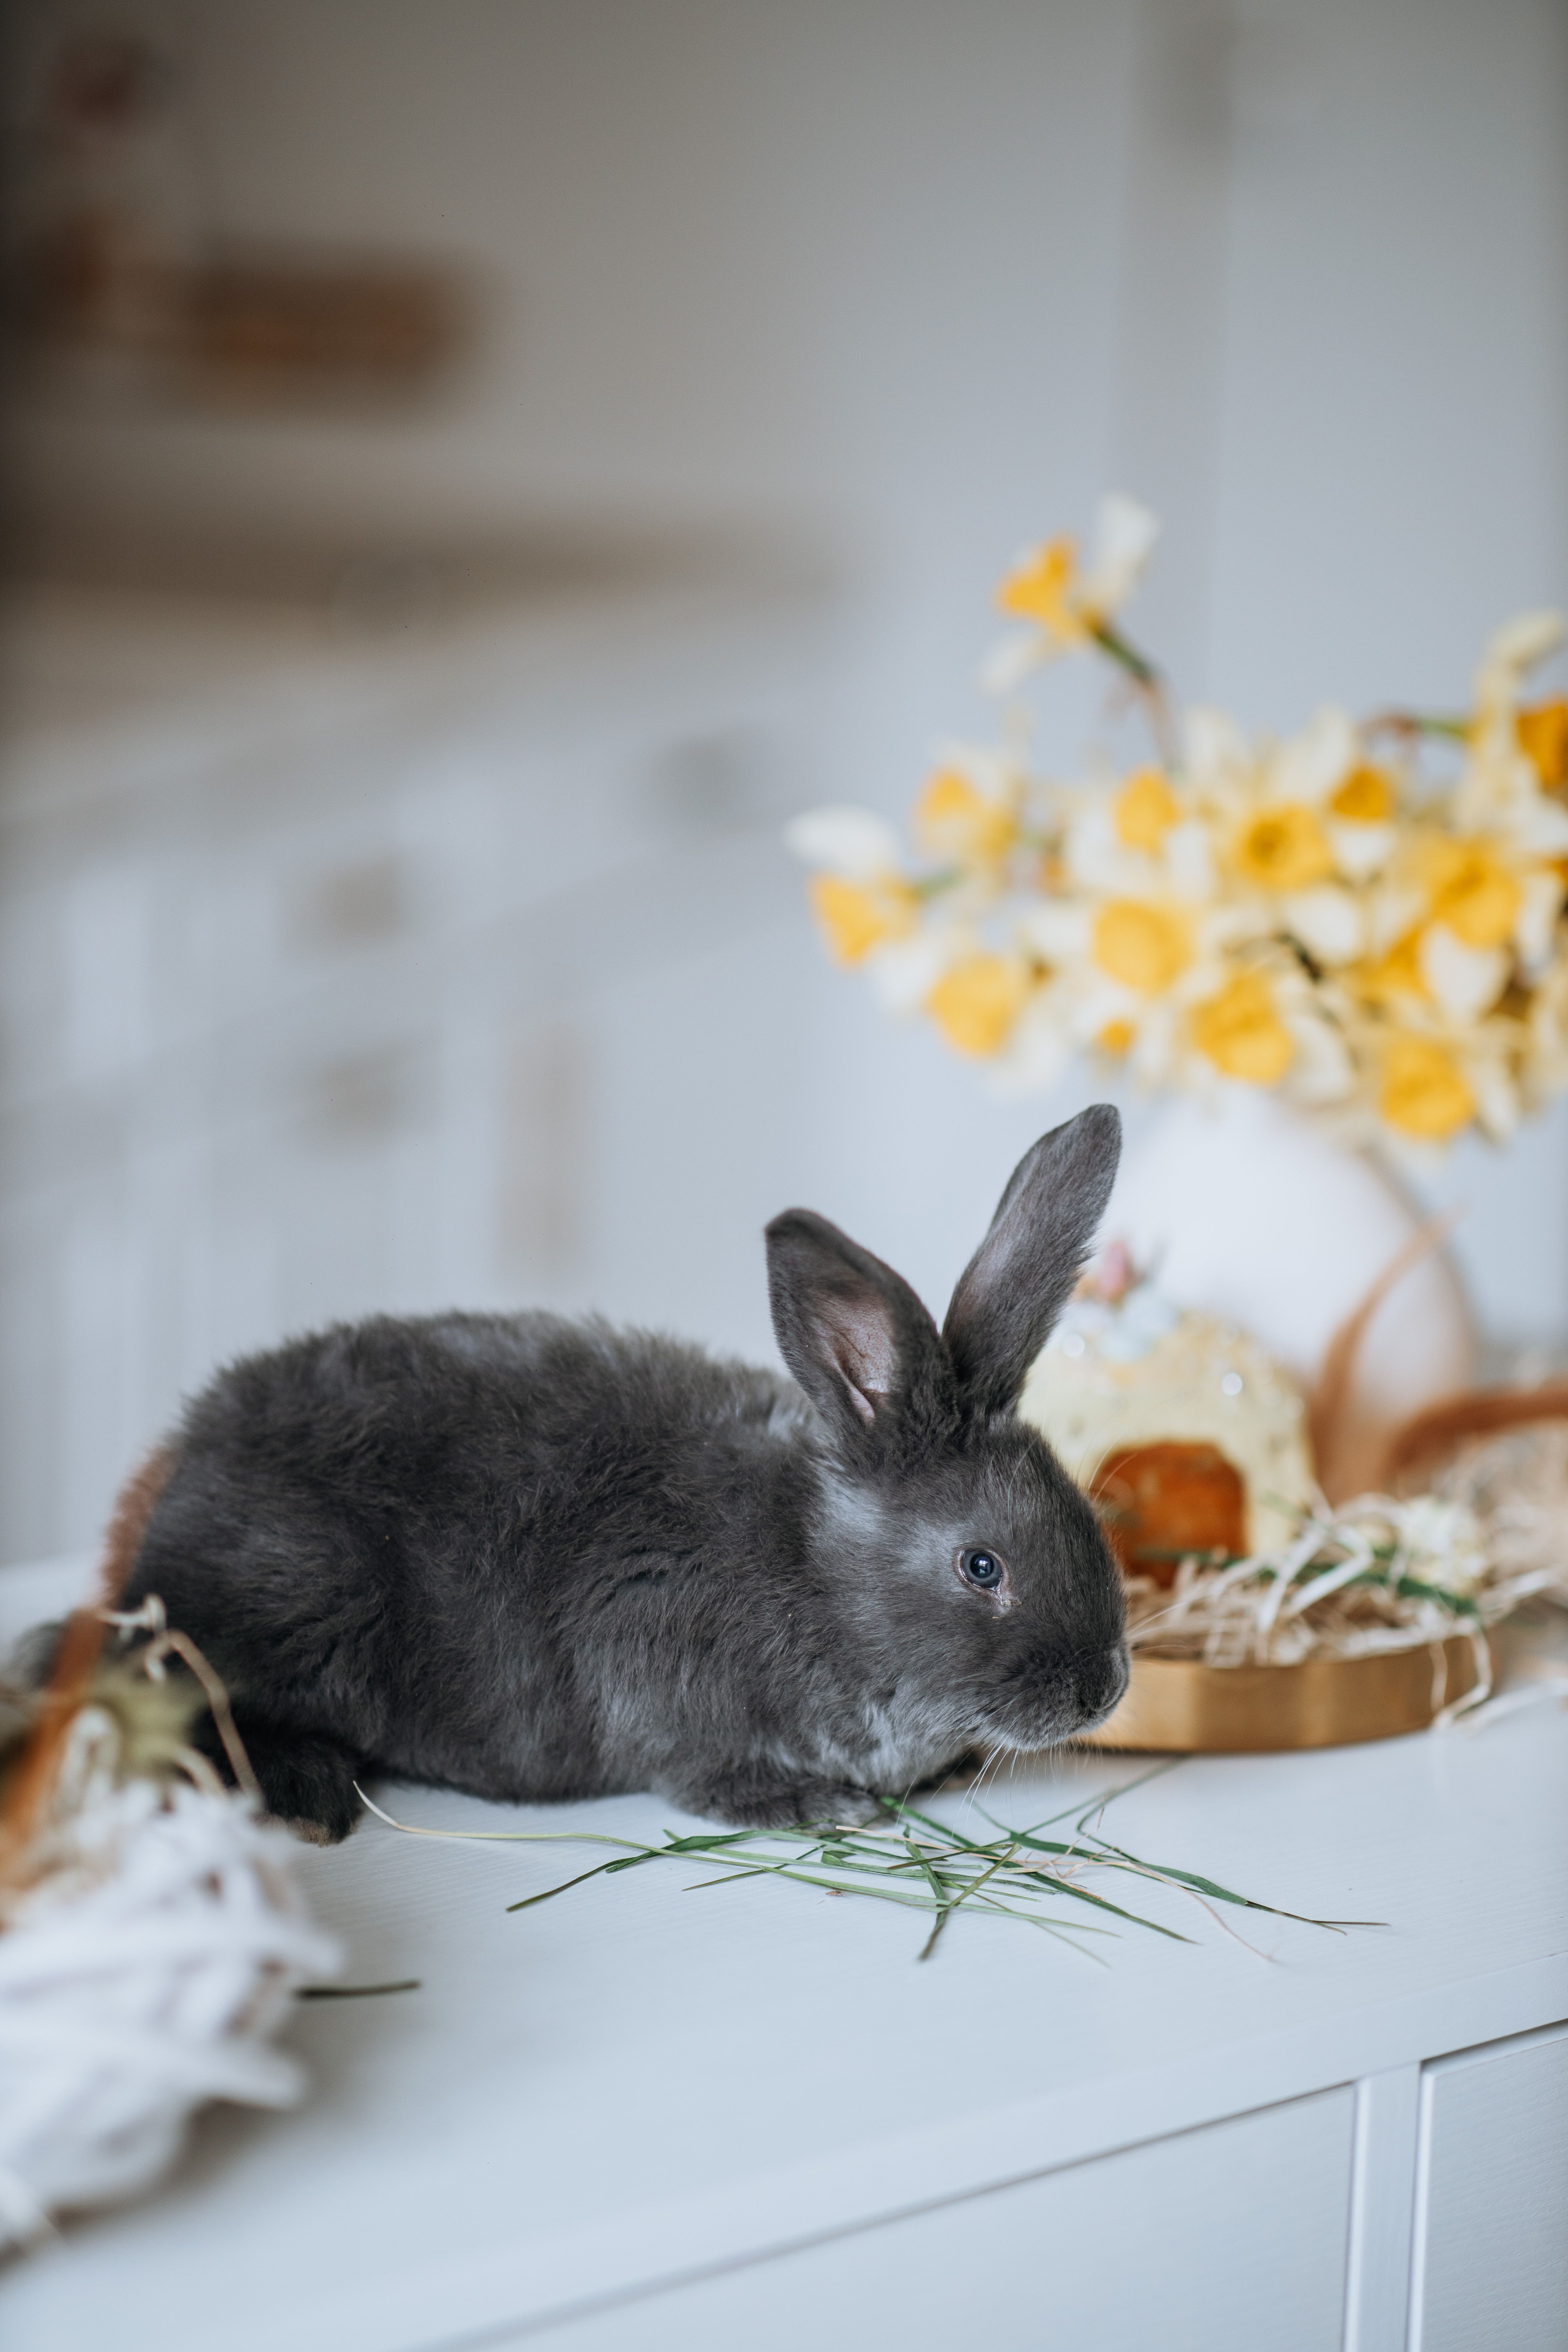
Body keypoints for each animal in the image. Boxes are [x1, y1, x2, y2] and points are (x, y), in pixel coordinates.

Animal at [104, 1103, 1129, 1841]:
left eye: (1087, 1515)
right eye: (982, 1567)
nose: (1106, 1690)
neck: (815, 1573)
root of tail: (180, 1469)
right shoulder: (661, 1676)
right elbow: (707, 1779)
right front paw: (818, 1806)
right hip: (305, 1596)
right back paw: (309, 1798)